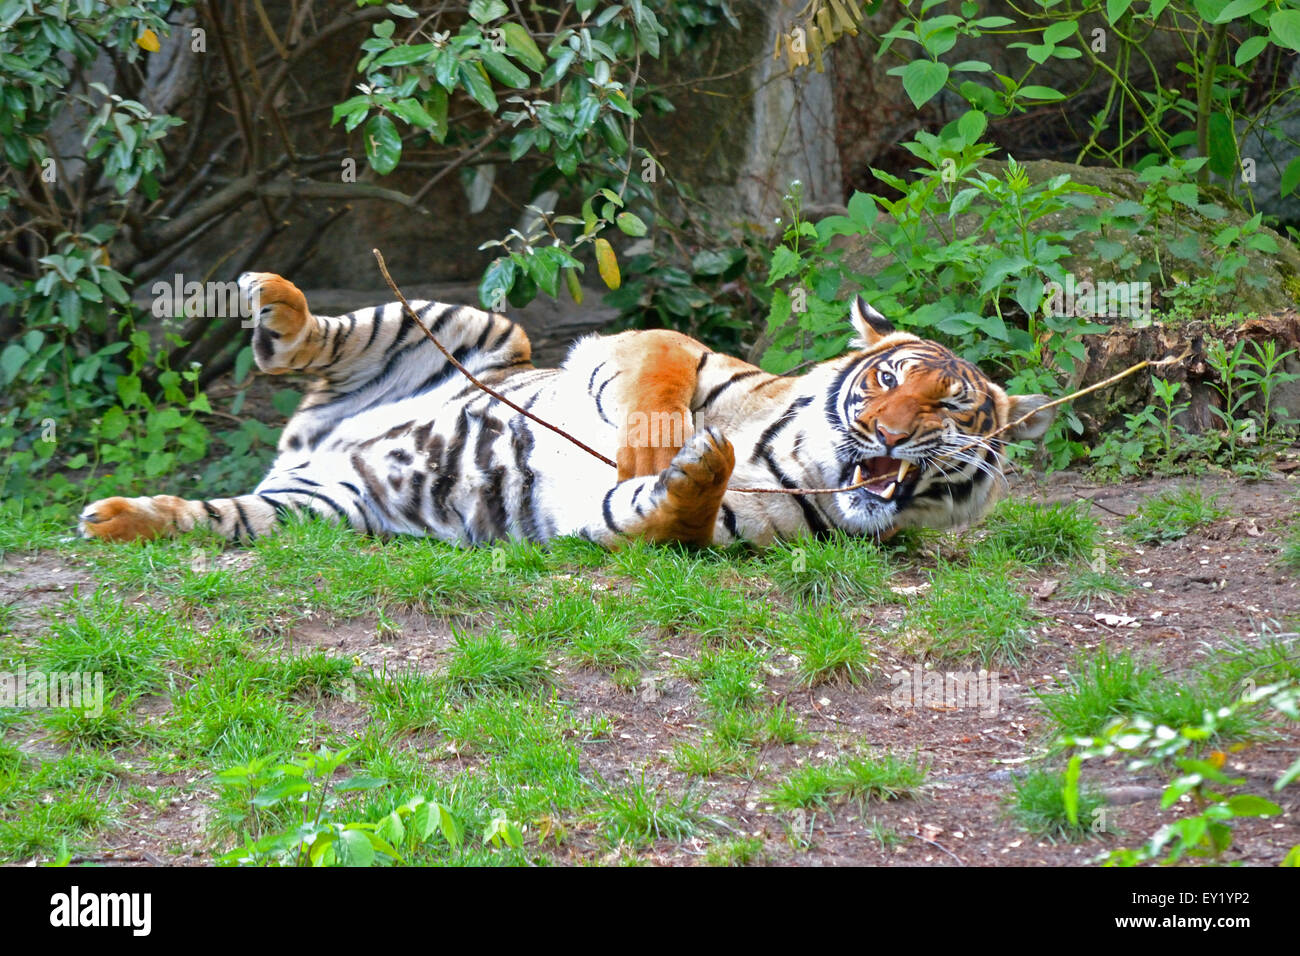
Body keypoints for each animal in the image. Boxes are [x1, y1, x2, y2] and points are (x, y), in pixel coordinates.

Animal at [78, 271, 1053, 549]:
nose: (888, 434)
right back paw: (273, 303)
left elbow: (667, 512)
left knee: (219, 516)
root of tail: (307, 450)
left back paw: (118, 518)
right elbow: (659, 386)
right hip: (473, 326)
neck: (809, 461)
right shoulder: (657, 346)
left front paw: (694, 469)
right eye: (889, 383)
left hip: (317, 509)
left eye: (949, 410)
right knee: (315, 338)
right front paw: (654, 449)